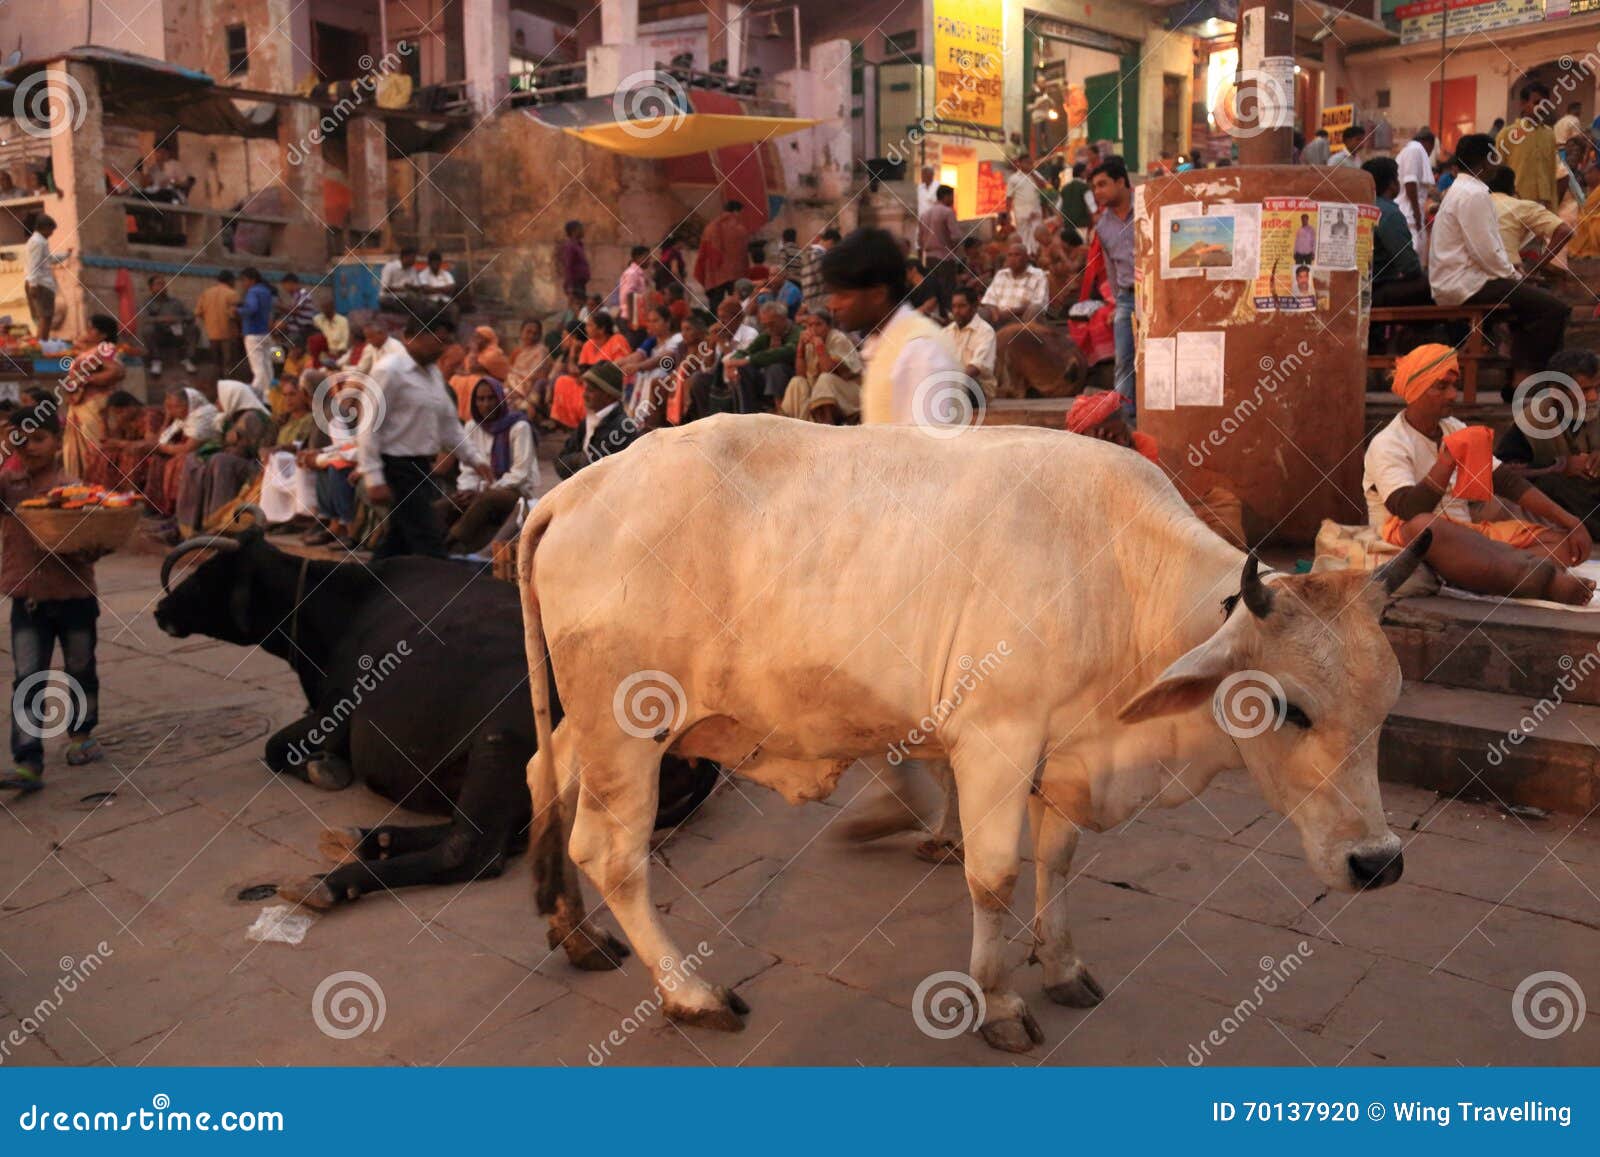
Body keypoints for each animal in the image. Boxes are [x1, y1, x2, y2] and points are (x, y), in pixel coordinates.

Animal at [153, 527, 718, 929]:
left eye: (204, 574)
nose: (159, 609)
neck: (339, 606)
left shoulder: (334, 715)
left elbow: (275, 747)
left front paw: (324, 770)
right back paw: (367, 837)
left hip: (502, 742)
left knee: (470, 848)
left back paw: (334, 881)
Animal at [516, 415, 1423, 1052]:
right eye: (1285, 706)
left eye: (1386, 705)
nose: (1378, 862)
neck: (1123, 582)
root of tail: (575, 489)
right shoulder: (995, 742)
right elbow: (993, 876)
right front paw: (996, 1000)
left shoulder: (1063, 752)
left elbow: (1056, 859)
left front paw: (1061, 964)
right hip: (629, 730)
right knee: (612, 851)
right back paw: (689, 992)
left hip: (595, 726)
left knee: (543, 774)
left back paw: (570, 926)